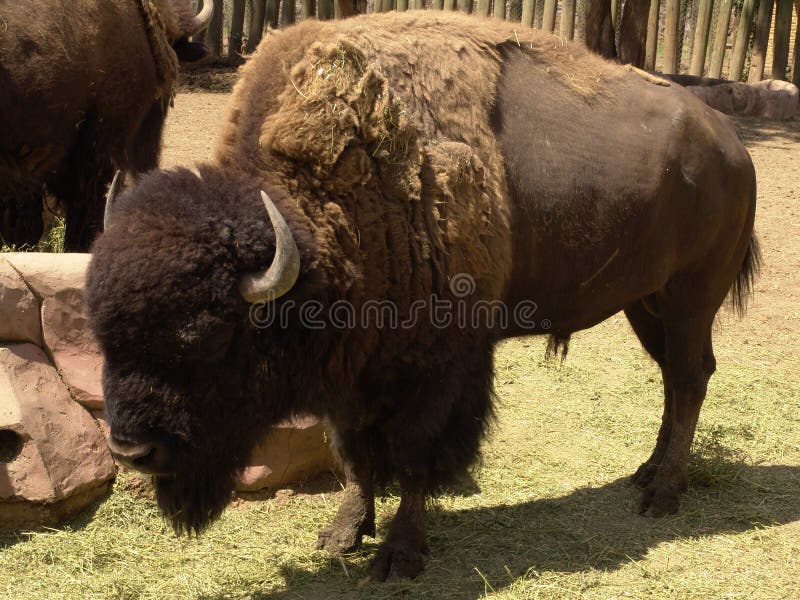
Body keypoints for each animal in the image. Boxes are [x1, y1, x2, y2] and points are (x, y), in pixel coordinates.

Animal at [87, 13, 759, 580]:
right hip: (645, 304)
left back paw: (662, 495)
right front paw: (343, 534)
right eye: (103, 333)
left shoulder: (435, 367)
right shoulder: (351, 370)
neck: (325, 222)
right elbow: (353, 454)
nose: (131, 449)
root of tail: (732, 146)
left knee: (690, 378)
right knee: (673, 379)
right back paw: (646, 473)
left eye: (206, 337)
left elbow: (411, 456)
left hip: (690, 299)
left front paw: (400, 556)